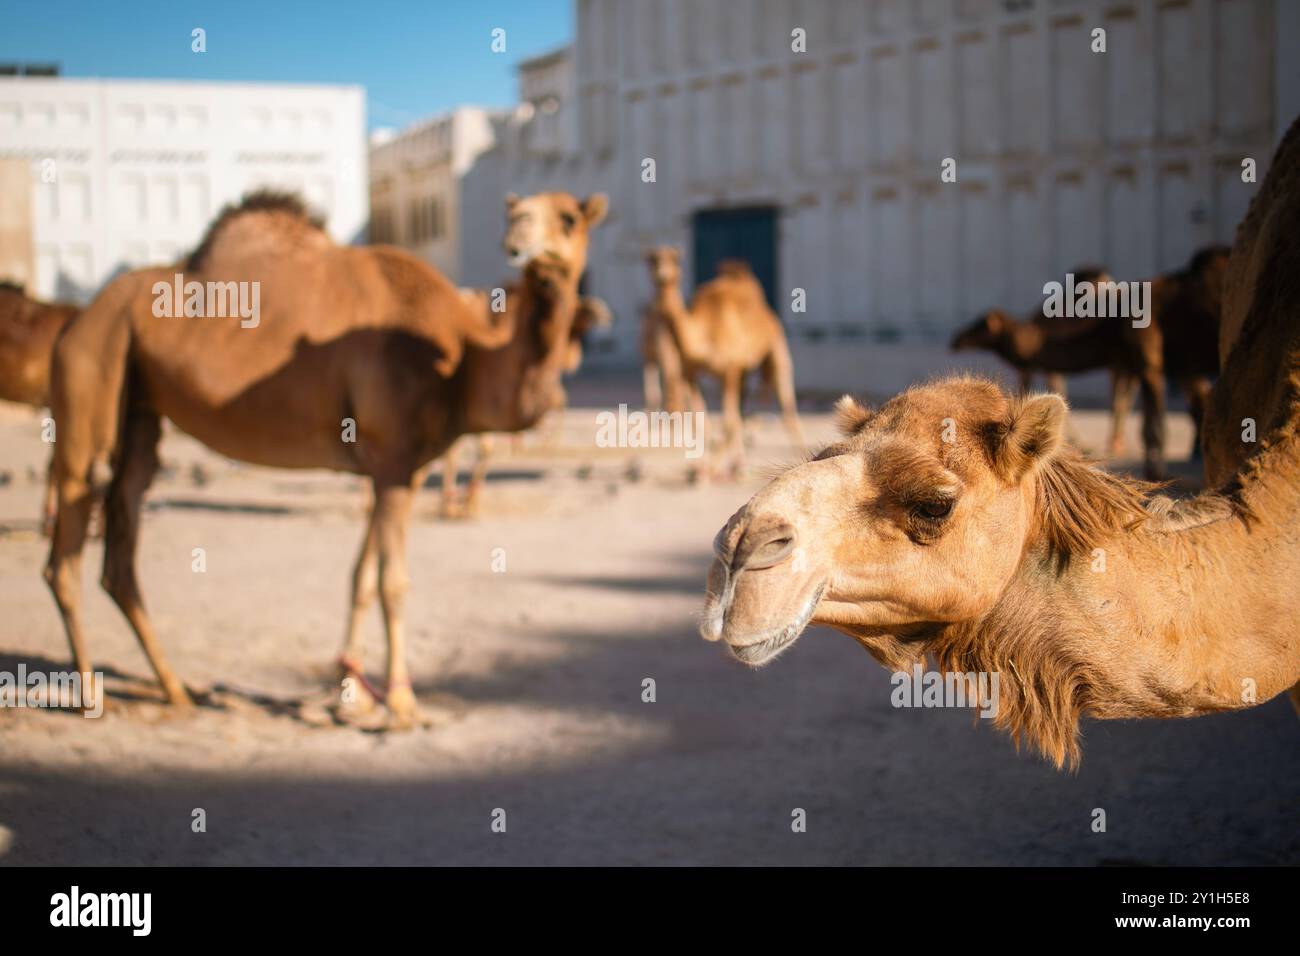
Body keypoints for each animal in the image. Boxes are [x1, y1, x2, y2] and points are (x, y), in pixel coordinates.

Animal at [45, 189, 607, 725]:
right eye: (517, 212)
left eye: (569, 218)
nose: (518, 236)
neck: (462, 359)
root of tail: (76, 320)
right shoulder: (393, 460)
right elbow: (392, 582)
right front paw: (401, 703)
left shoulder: (400, 467)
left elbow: (361, 577)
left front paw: (352, 690)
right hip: (92, 368)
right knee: (66, 544)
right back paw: (92, 695)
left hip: (140, 402)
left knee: (122, 538)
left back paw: (176, 688)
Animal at [644, 247, 804, 471]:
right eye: (652, 260)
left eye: (674, 260)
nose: (662, 275)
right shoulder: (689, 373)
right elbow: (701, 420)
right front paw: (700, 468)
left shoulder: (730, 369)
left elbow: (728, 422)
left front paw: (709, 469)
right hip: (745, 370)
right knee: (741, 409)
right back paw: (738, 461)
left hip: (776, 345)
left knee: (786, 405)